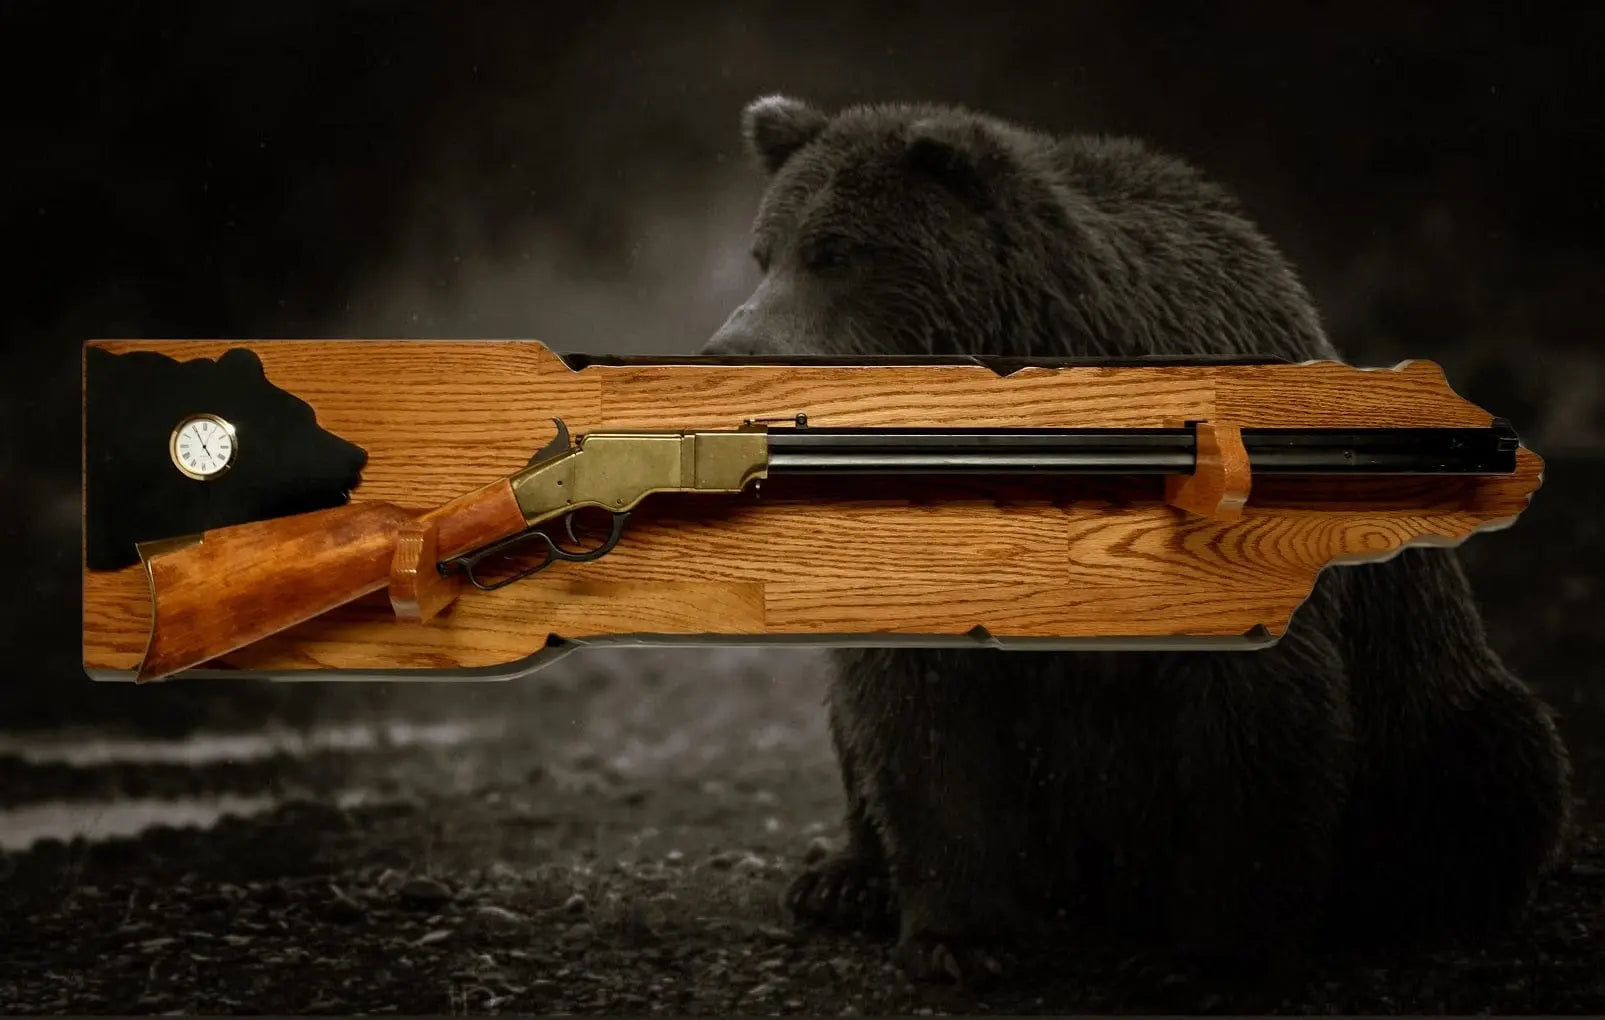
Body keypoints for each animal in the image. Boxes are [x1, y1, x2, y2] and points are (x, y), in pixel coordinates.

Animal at [701, 95, 1573, 986]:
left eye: (834, 251)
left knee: (1493, 766)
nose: (728, 351)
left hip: (1426, 705)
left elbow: (1251, 726)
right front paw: (961, 937)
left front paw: (1218, 948)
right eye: (764, 252)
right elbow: (922, 721)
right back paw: (843, 881)